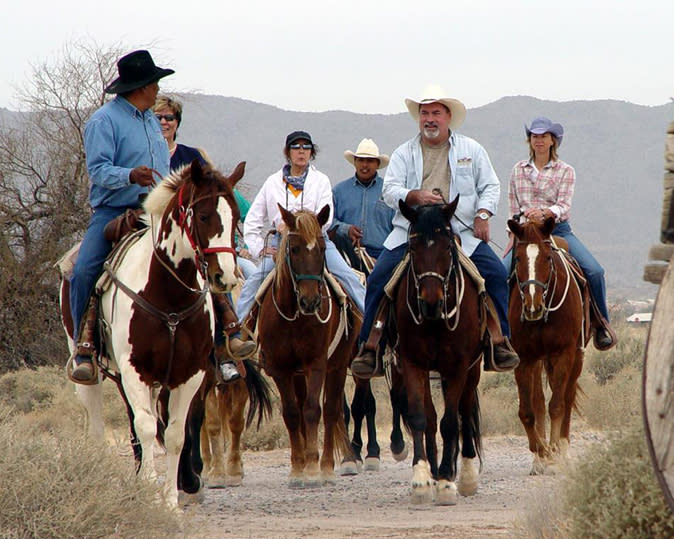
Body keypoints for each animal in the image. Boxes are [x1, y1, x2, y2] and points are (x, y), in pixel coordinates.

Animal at [60, 160, 244, 507]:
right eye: (203, 216)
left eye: (236, 218)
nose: (225, 276)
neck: (168, 295)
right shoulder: (135, 371)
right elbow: (145, 427)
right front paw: (151, 492)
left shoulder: (190, 374)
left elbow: (174, 434)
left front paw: (171, 499)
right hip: (94, 373)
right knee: (100, 422)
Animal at [257, 204, 360, 487]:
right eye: (294, 249)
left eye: (323, 249)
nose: (311, 301)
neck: (294, 316)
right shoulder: (281, 369)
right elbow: (293, 413)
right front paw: (297, 468)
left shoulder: (316, 364)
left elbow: (314, 410)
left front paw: (313, 469)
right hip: (298, 373)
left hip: (336, 367)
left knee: (332, 410)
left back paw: (327, 467)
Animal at [392, 198, 483, 506]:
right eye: (412, 247)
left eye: (446, 247)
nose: (430, 302)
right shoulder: (412, 363)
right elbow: (421, 417)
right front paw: (422, 479)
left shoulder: (457, 367)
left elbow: (451, 422)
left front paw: (446, 482)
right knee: (432, 419)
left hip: (472, 371)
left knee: (464, 415)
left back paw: (464, 475)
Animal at [507, 217, 589, 475]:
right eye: (518, 258)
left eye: (547, 258)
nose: (533, 306)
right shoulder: (524, 358)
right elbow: (528, 410)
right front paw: (541, 452)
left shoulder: (564, 353)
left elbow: (557, 405)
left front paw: (553, 451)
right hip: (538, 361)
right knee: (539, 401)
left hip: (576, 357)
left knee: (567, 397)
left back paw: (562, 449)